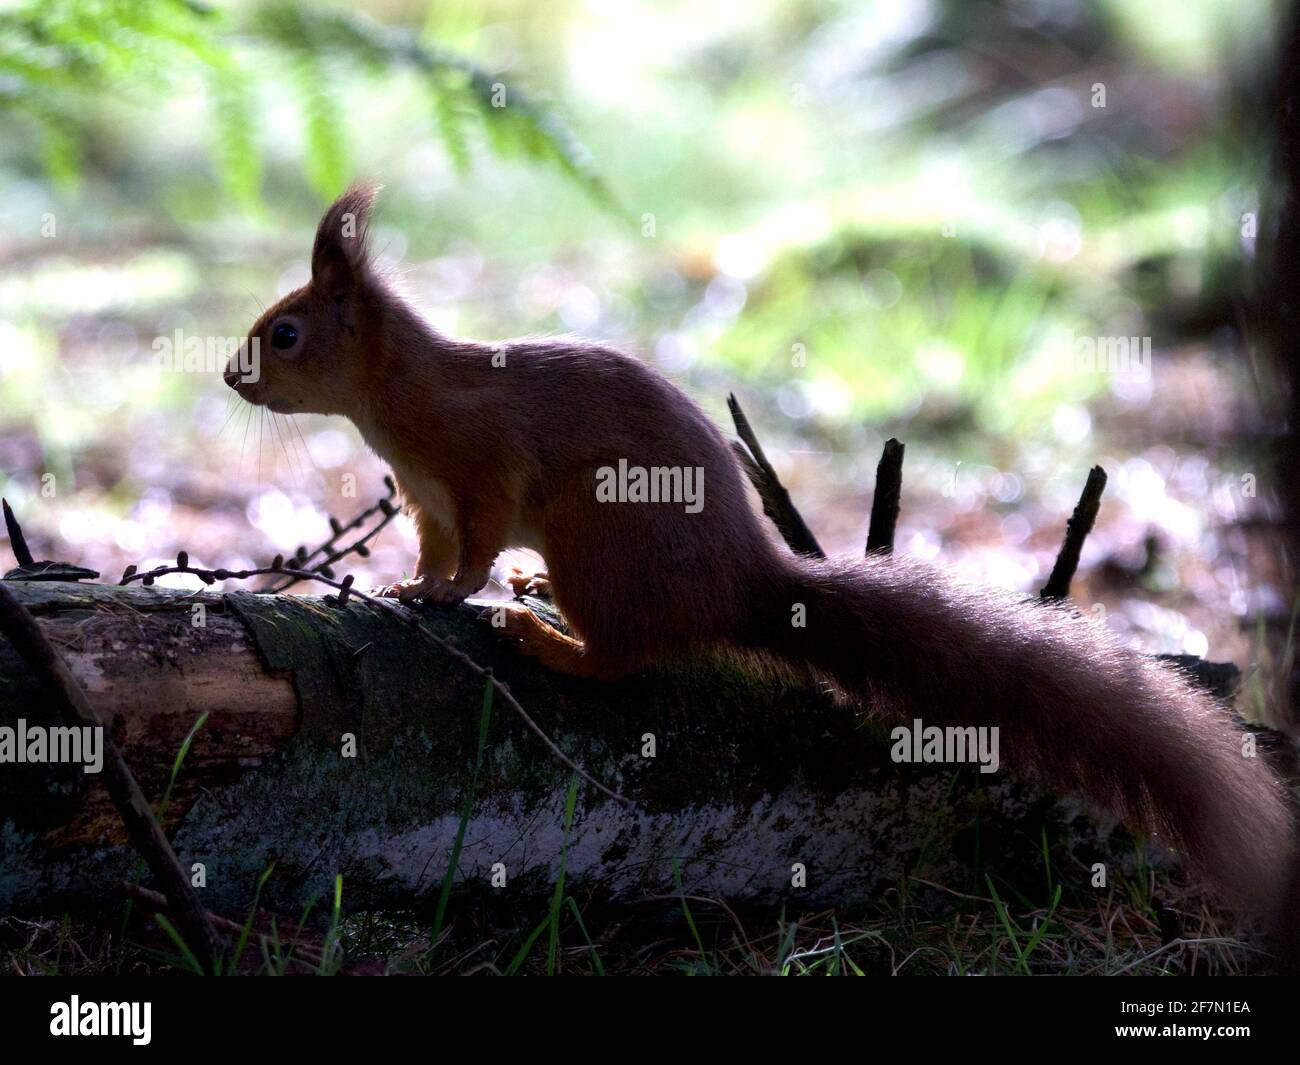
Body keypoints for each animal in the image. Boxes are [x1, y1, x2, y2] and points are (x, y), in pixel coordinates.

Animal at [226, 185, 1299, 954]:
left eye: (286, 331)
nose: (232, 377)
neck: (399, 395)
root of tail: (743, 580)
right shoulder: (426, 499)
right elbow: (437, 547)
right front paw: (414, 586)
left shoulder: (484, 467)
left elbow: (478, 541)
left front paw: (456, 593)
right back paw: (535, 599)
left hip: (593, 531)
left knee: (624, 655)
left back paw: (540, 629)